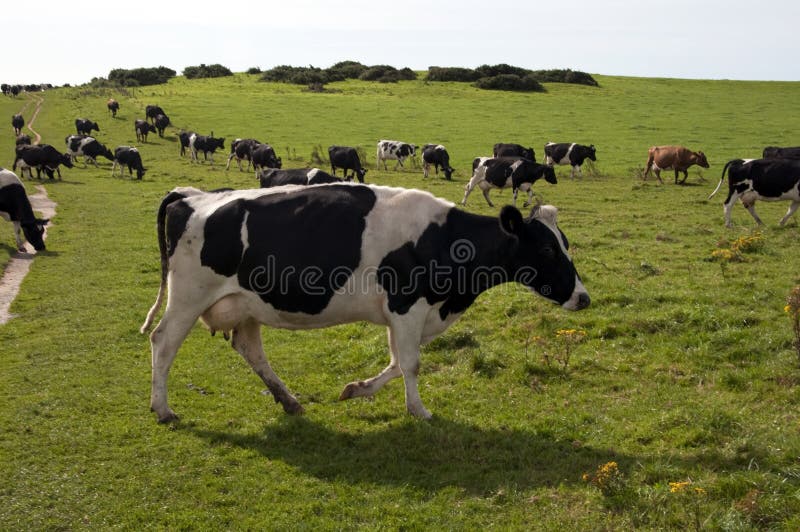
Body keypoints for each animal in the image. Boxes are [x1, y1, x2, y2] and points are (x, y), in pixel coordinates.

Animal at [139, 184, 590, 423]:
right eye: (547, 249)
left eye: (565, 242)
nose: (583, 297)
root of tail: (192, 195)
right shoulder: (408, 306)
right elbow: (410, 364)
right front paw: (419, 410)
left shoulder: (404, 314)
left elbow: (396, 363)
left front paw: (357, 389)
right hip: (188, 296)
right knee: (163, 342)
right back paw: (162, 409)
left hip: (246, 304)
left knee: (249, 348)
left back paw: (289, 400)